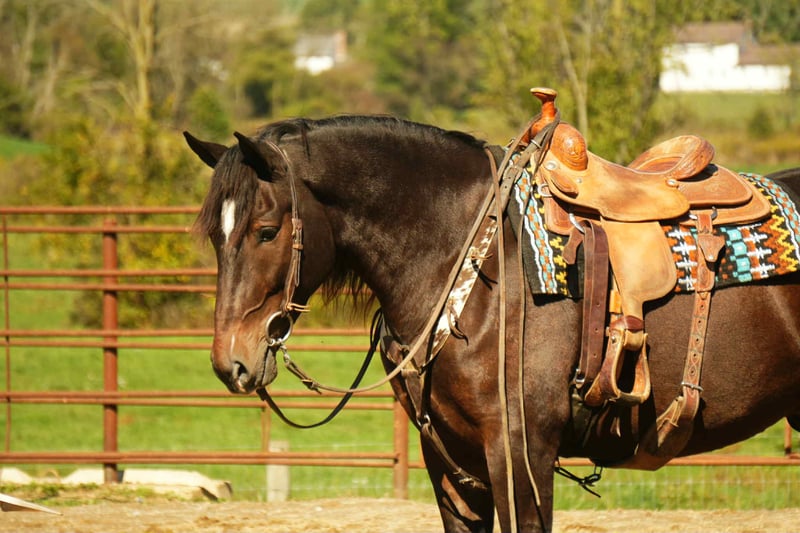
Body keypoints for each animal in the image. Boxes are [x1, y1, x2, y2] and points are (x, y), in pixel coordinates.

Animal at [185, 114, 800, 532]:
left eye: (266, 231)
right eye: (215, 234)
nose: (230, 361)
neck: (480, 265)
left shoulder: (521, 456)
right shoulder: (452, 464)